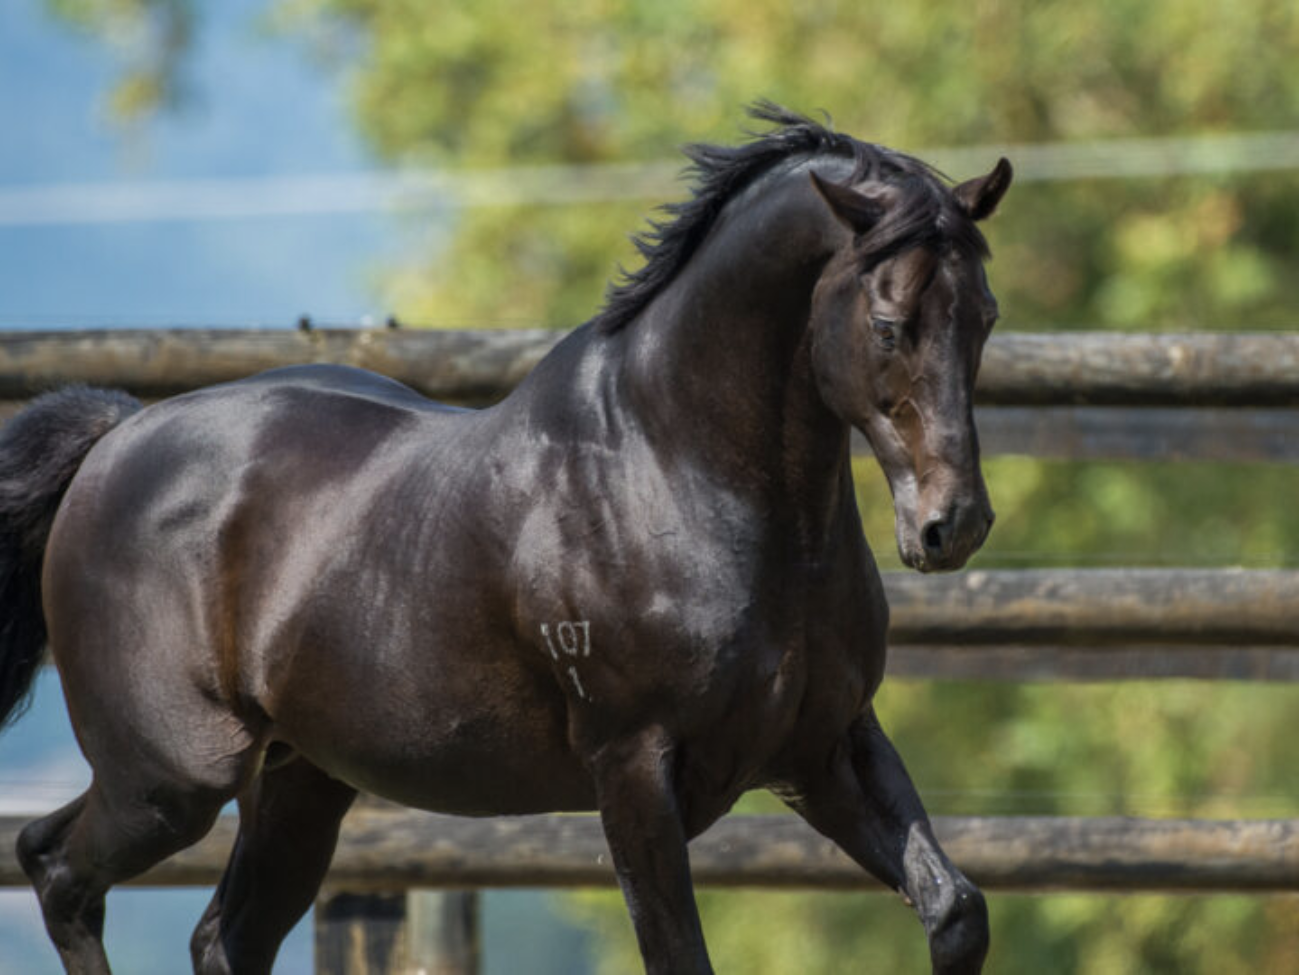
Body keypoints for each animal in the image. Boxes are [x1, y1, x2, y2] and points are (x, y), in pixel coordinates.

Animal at [0, 104, 1010, 974]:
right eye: (889, 324)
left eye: (986, 317)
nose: (950, 526)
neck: (678, 469)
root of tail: (120, 434)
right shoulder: (633, 768)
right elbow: (679, 957)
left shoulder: (823, 747)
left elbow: (954, 909)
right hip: (169, 779)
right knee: (55, 869)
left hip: (297, 784)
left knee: (222, 937)